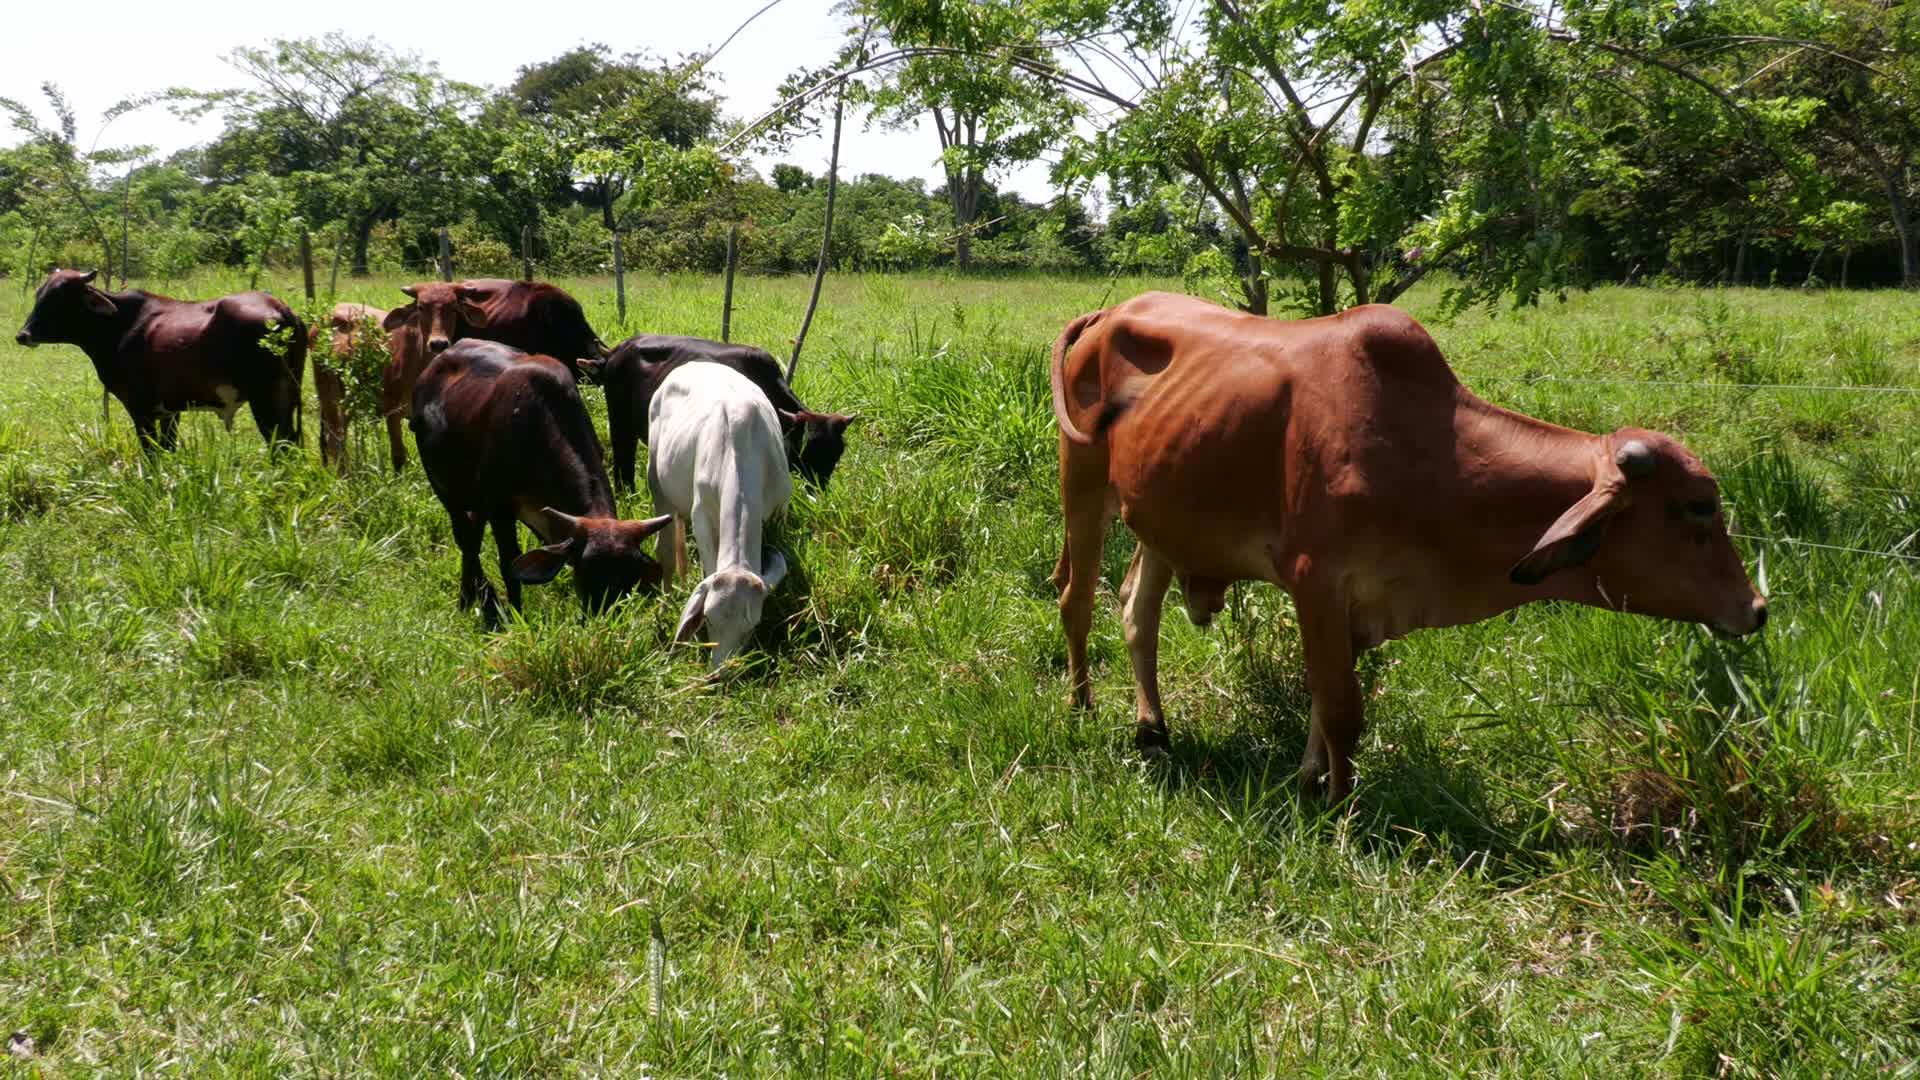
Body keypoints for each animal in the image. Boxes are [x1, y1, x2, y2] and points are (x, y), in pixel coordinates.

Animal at [14, 269, 304, 451]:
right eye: (39, 295)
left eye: (58, 299)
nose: (22, 335)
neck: (120, 325)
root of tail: (280, 308)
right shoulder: (169, 411)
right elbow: (167, 449)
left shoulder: (139, 408)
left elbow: (151, 454)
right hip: (287, 398)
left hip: (266, 401)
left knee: (282, 446)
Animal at [410, 339, 672, 625]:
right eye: (587, 573)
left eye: (630, 578)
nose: (605, 622)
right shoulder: (499, 509)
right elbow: (509, 563)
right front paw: (515, 615)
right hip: (445, 489)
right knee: (466, 539)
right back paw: (471, 599)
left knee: (473, 535)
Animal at [586, 334, 856, 491]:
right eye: (805, 452)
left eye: (837, 453)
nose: (818, 492)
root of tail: (617, 350)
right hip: (619, 424)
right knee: (623, 462)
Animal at [646, 362, 794, 670]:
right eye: (708, 619)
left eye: (751, 628)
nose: (718, 674)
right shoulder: (701, 515)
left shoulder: (780, 509)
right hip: (656, 482)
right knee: (665, 552)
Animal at [1050, 292, 1767, 805]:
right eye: (1698, 507)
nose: (1756, 609)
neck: (1433, 456)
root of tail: (1110, 312)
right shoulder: (1316, 581)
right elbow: (1342, 710)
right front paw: (1340, 807)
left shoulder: (1354, 607)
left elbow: (1322, 702)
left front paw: (1309, 780)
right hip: (1082, 485)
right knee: (1076, 599)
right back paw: (1082, 703)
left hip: (1160, 514)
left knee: (1137, 613)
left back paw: (1153, 729)